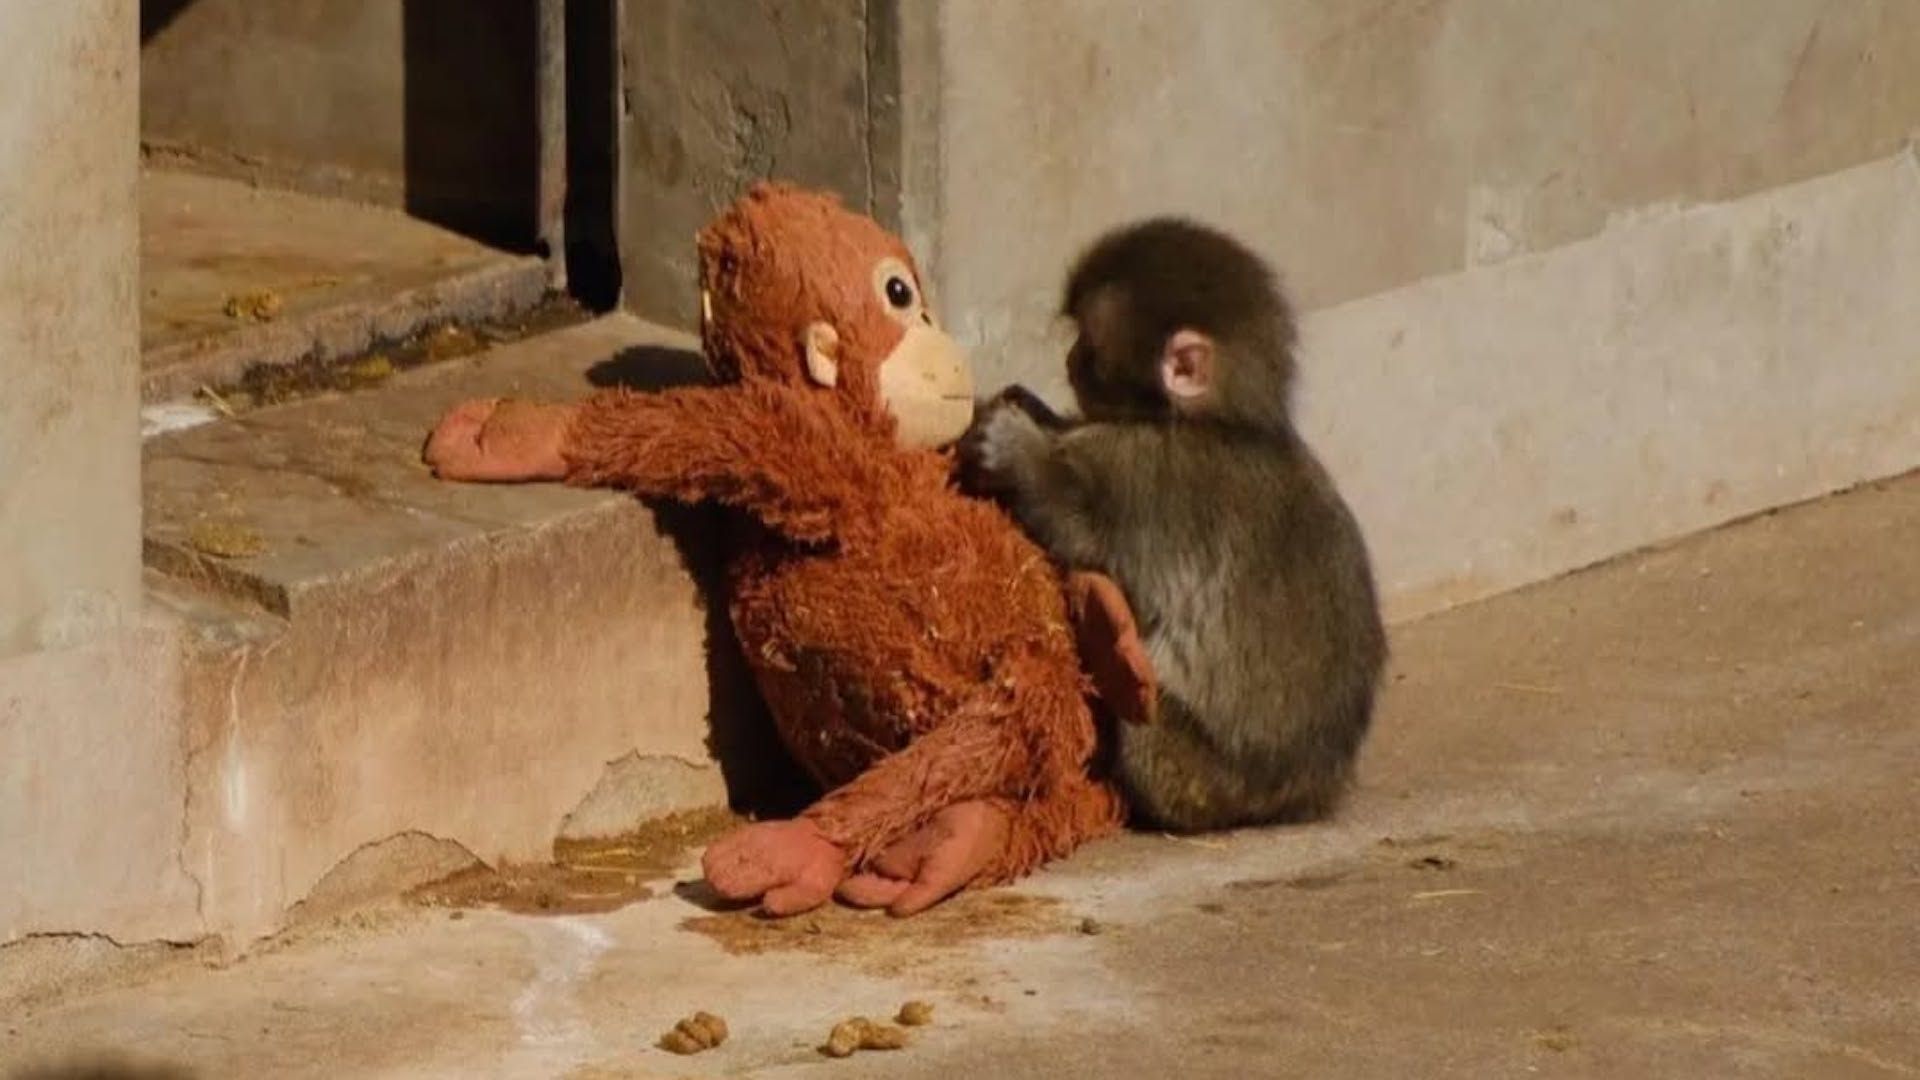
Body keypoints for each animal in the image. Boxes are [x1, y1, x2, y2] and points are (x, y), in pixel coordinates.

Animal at [958, 218, 1387, 831]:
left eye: (1089, 345)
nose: (1069, 360)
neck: (1219, 423)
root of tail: (1299, 796)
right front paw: (1033, 410)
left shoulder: (1145, 474)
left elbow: (1082, 532)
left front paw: (1017, 449)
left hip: (1192, 775)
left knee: (1143, 723)